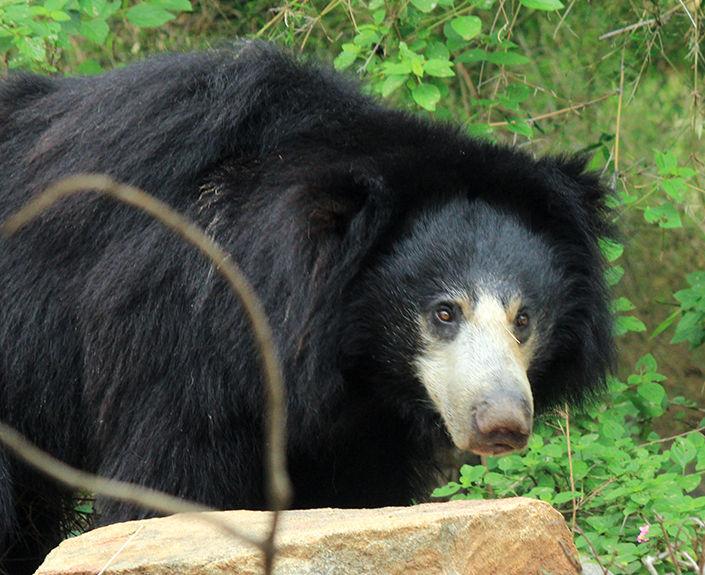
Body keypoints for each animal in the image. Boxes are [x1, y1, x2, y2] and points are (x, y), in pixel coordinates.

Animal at [0, 40, 614, 574]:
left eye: (524, 318)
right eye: (444, 312)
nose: (502, 423)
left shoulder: (363, 424)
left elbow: (359, 496)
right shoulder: (173, 334)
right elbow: (169, 476)